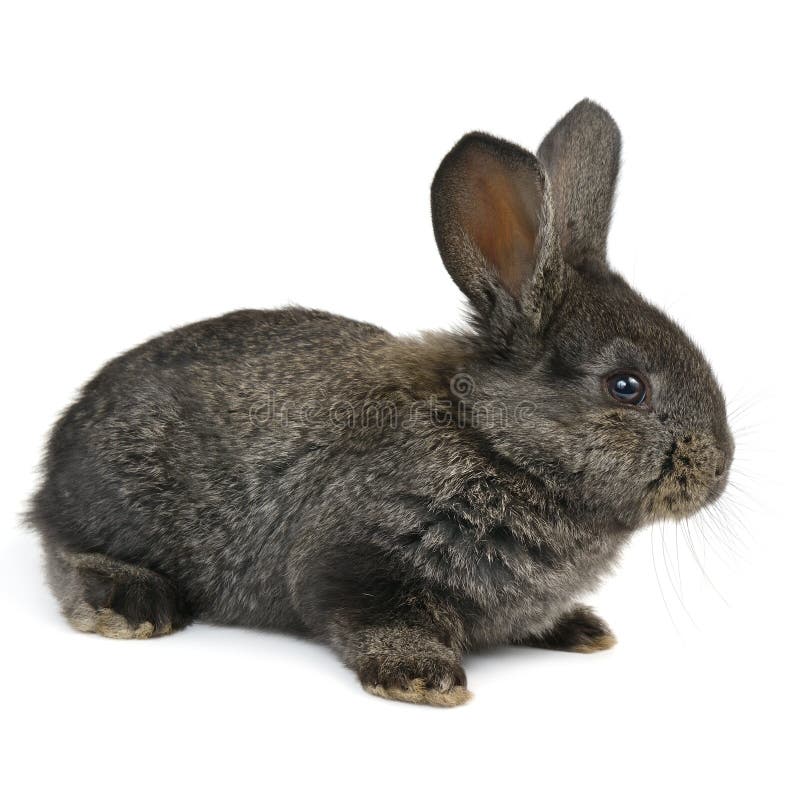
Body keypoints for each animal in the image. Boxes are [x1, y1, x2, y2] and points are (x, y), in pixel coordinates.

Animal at [29, 99, 733, 707]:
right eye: (626, 386)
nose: (720, 469)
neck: (492, 441)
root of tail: (51, 465)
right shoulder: (361, 559)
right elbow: (379, 618)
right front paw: (423, 681)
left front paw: (580, 629)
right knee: (62, 553)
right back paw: (130, 604)